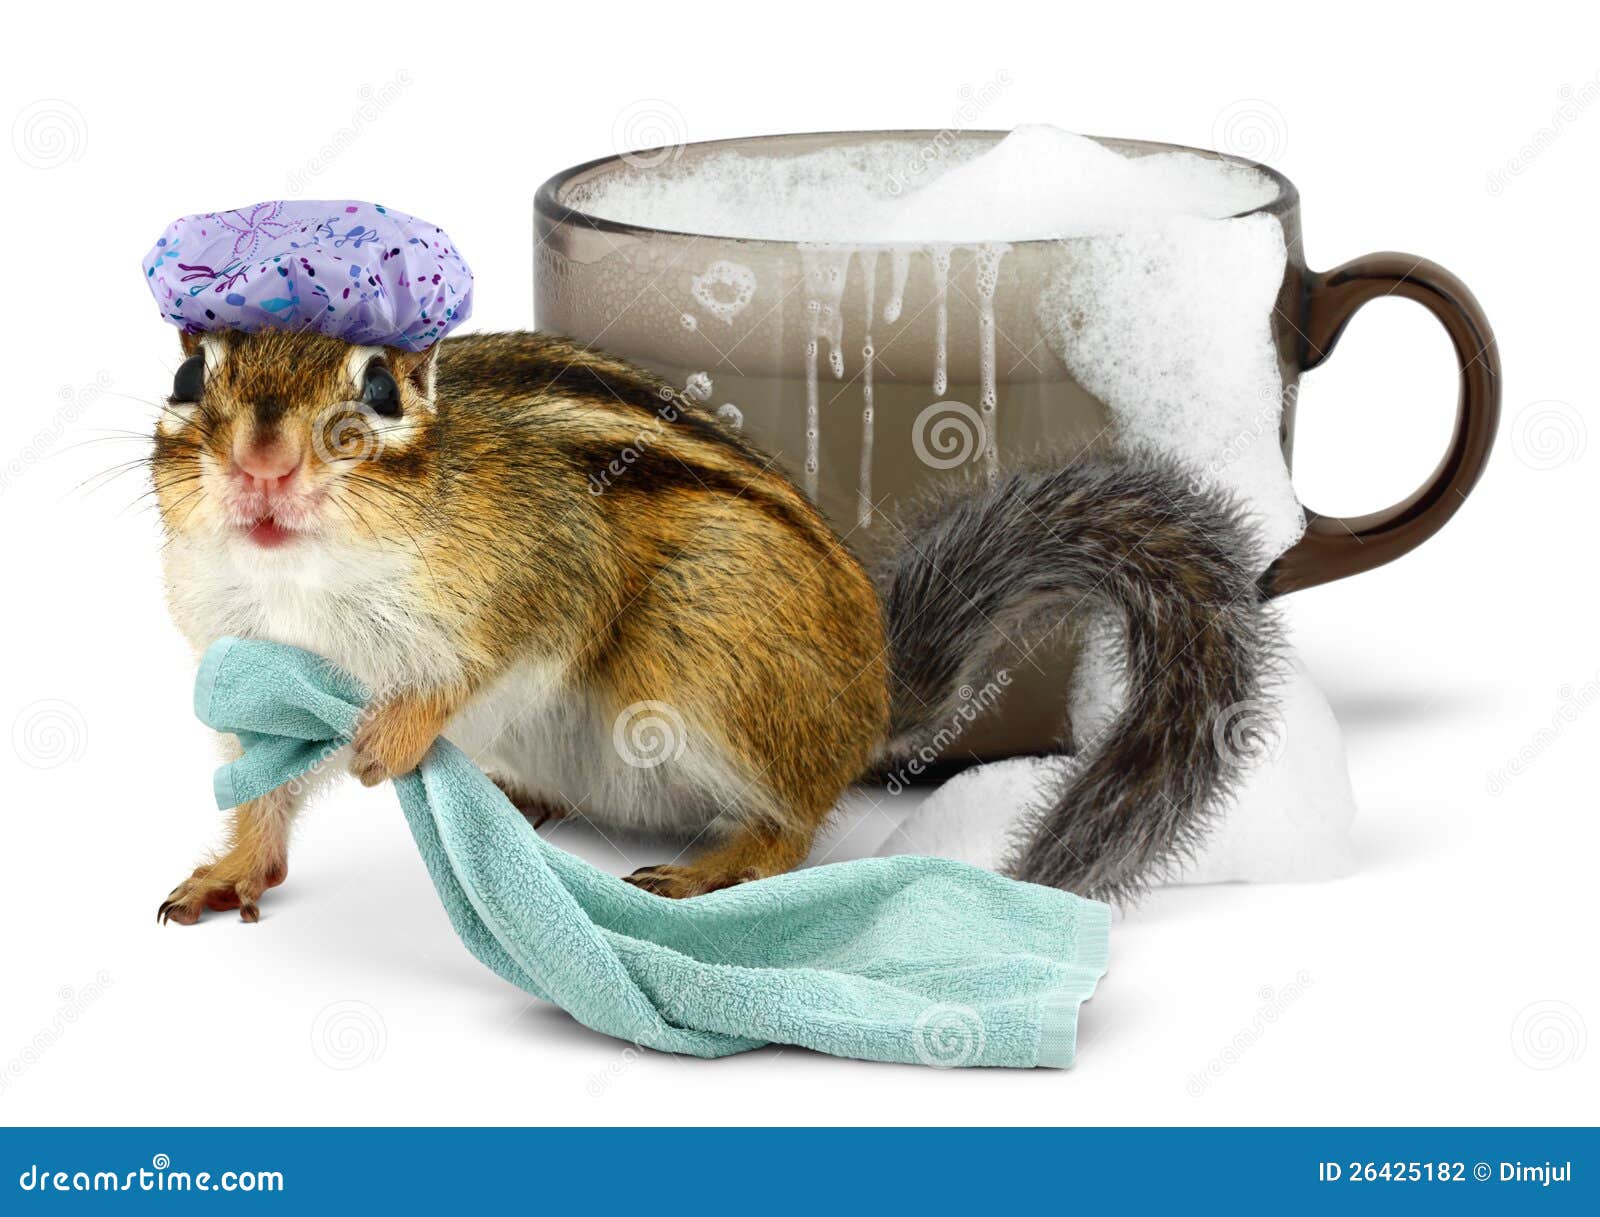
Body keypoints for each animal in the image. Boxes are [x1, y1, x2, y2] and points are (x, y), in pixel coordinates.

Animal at [151, 328, 1276, 924]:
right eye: (187, 376)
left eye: (378, 388)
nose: (261, 467)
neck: (305, 585)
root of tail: (873, 696)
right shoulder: (256, 668)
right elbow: (267, 782)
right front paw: (233, 868)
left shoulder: (548, 568)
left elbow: (492, 656)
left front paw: (400, 726)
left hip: (694, 649)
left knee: (794, 822)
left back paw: (711, 868)